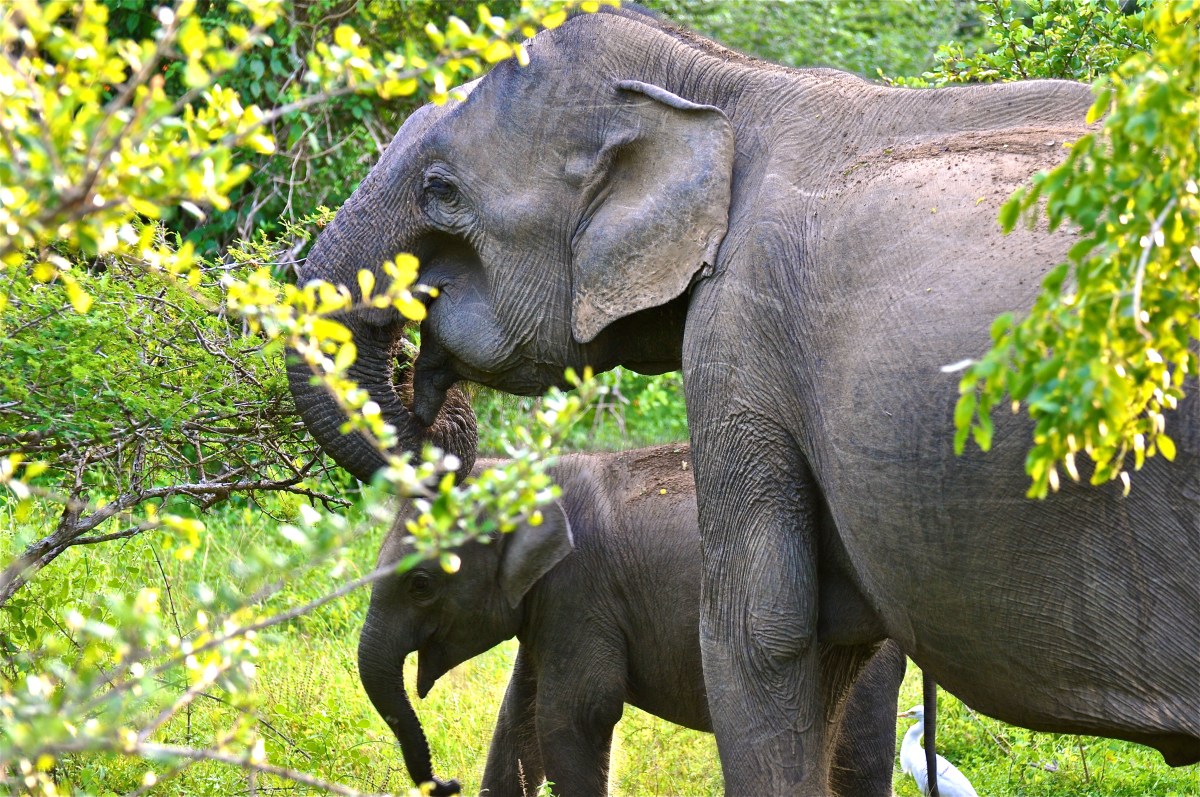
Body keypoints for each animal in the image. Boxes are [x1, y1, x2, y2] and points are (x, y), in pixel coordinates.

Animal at [358, 445, 907, 797]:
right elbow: (518, 717)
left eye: (421, 584)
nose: (447, 783)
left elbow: (575, 715)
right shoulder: (550, 607)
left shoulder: (581, 590)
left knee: (856, 759)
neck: (521, 474)